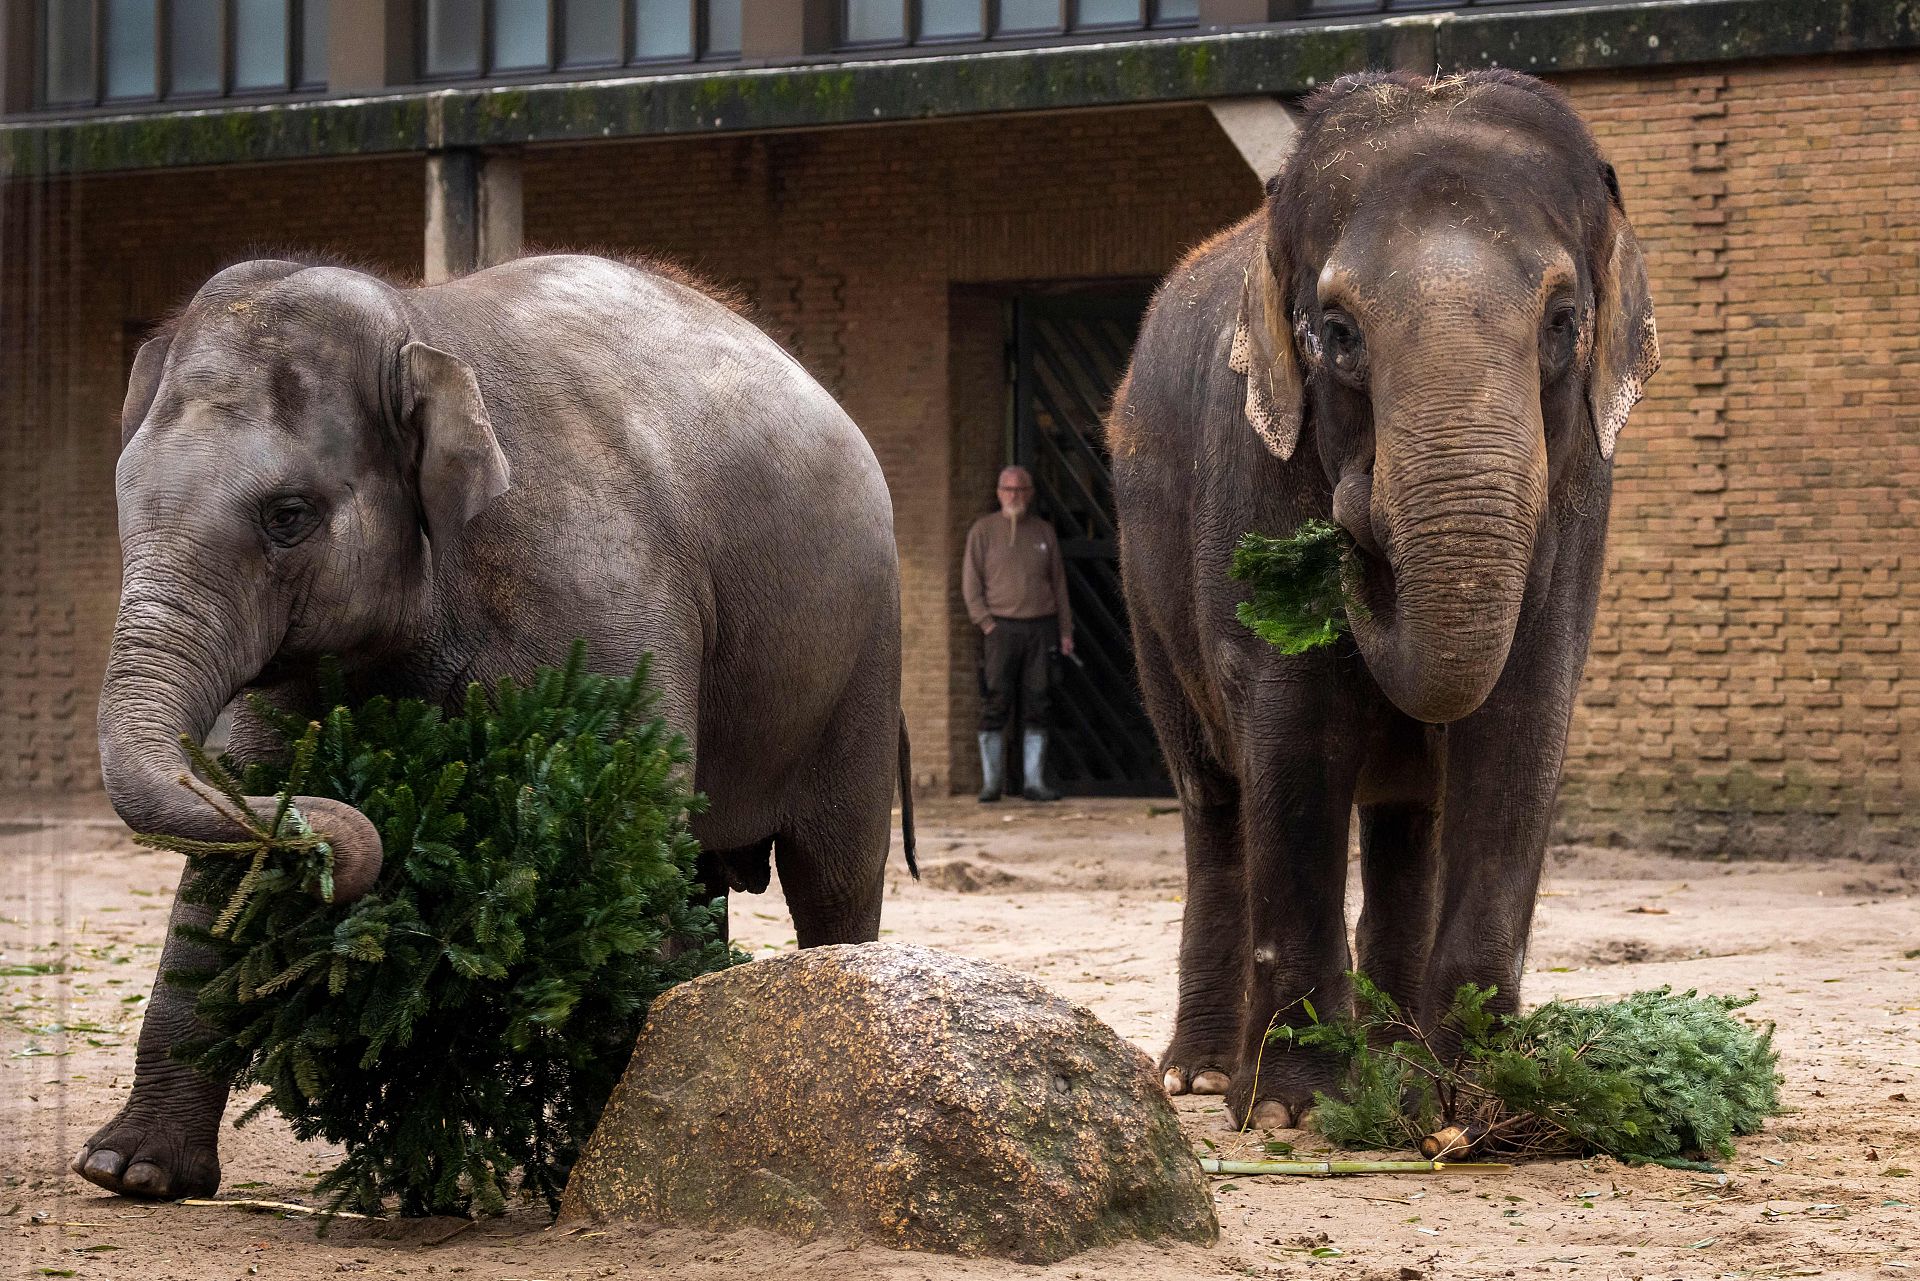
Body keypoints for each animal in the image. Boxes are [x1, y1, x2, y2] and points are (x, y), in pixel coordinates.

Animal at [74, 252, 914, 1199]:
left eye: (288, 515)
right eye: (125, 499)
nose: (341, 853)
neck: (419, 325)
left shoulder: (604, 600)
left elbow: (619, 838)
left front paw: (598, 1165)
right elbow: (228, 847)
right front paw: (128, 1172)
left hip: (864, 653)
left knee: (832, 874)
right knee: (700, 882)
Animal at [1109, 70, 1658, 1128]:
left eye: (1562, 322)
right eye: (1337, 334)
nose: (1358, 527)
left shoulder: (1584, 500)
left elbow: (1521, 727)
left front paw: (1473, 1104)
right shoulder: (1252, 468)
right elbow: (1291, 726)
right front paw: (1293, 1112)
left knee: (1410, 824)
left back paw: (1398, 1073)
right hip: (1140, 579)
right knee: (1212, 800)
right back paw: (1203, 1077)